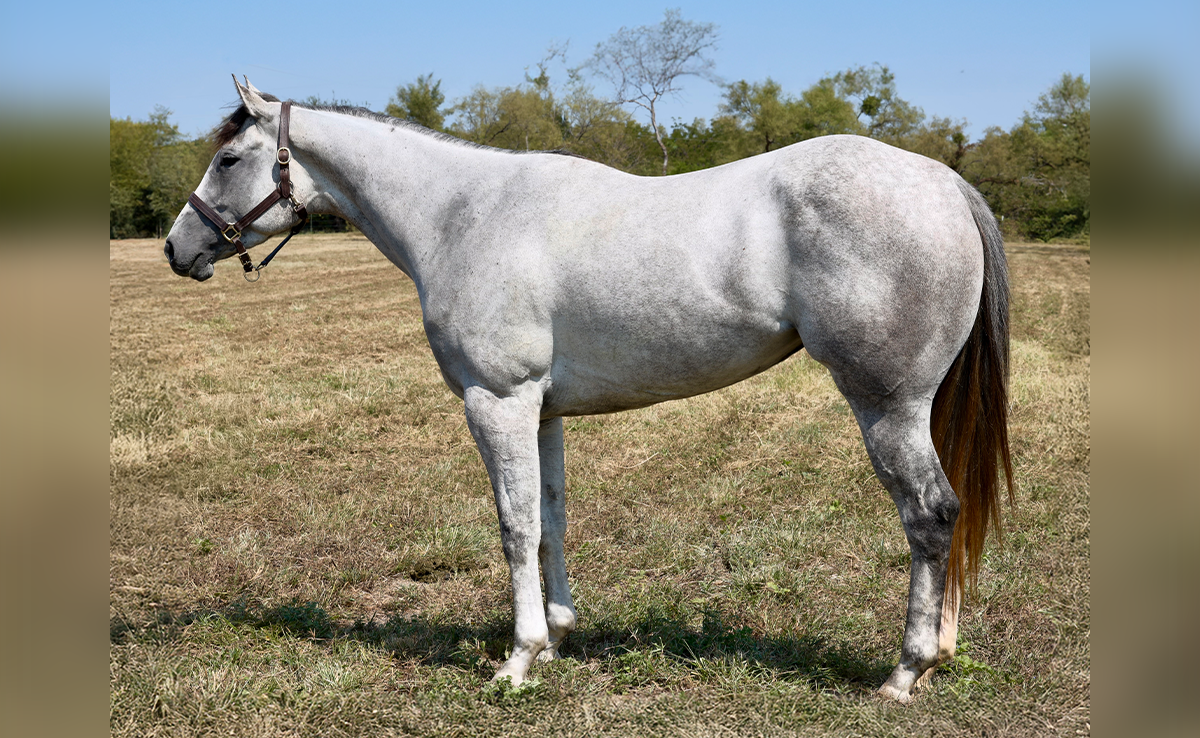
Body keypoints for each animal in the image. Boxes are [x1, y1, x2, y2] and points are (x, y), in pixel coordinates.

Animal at [164, 77, 1013, 702]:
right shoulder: (541, 412)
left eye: (231, 158)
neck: (462, 215)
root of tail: (942, 182)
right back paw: (940, 649)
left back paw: (905, 671)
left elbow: (512, 527)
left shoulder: (496, 403)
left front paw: (518, 659)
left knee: (930, 515)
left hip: (887, 407)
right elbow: (549, 520)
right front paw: (559, 636)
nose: (177, 247)